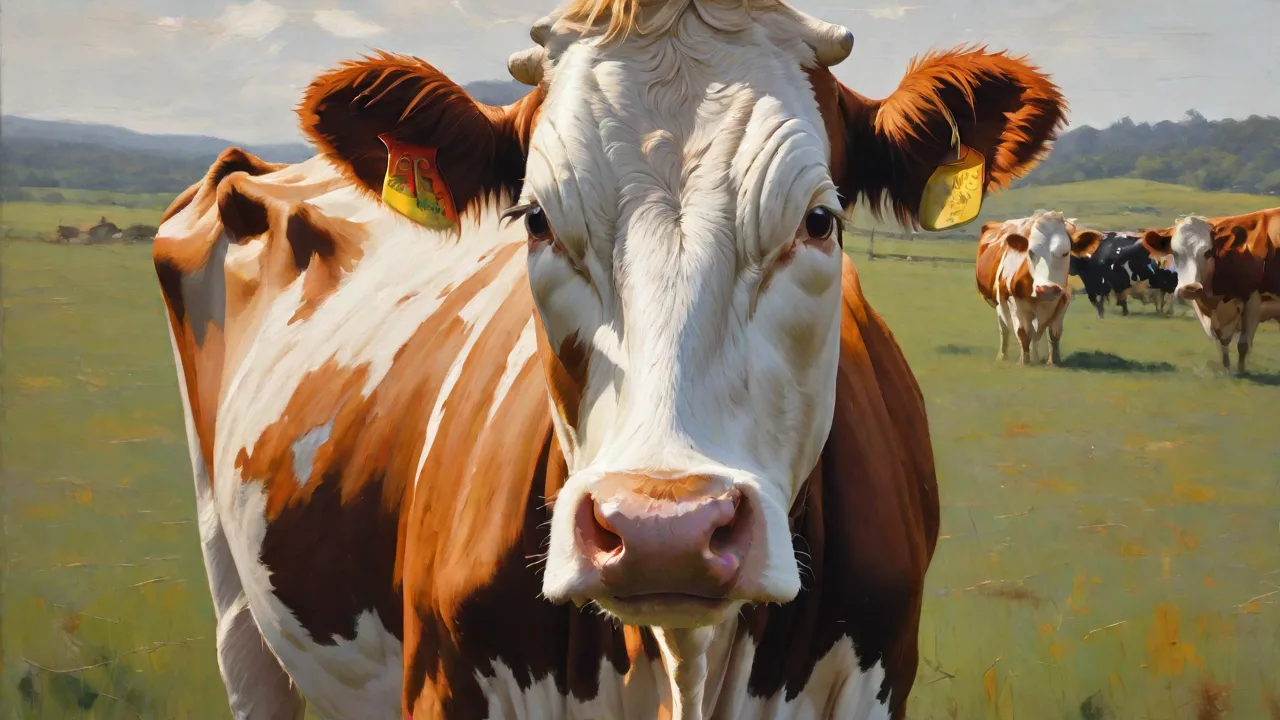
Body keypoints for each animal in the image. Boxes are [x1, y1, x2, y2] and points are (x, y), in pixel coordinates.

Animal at [975, 212, 1101, 365]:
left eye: (1066, 253)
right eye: (1031, 252)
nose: (1047, 289)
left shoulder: (1063, 301)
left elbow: (1054, 333)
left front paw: (1053, 362)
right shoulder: (1013, 302)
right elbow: (1023, 333)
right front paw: (1024, 363)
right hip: (999, 303)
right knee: (1005, 328)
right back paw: (1003, 357)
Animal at [1141, 208, 1280, 373]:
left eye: (1208, 252)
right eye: (1175, 253)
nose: (1190, 288)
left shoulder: (1253, 300)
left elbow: (1243, 345)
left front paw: (1240, 372)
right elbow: (1221, 344)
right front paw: (1227, 369)